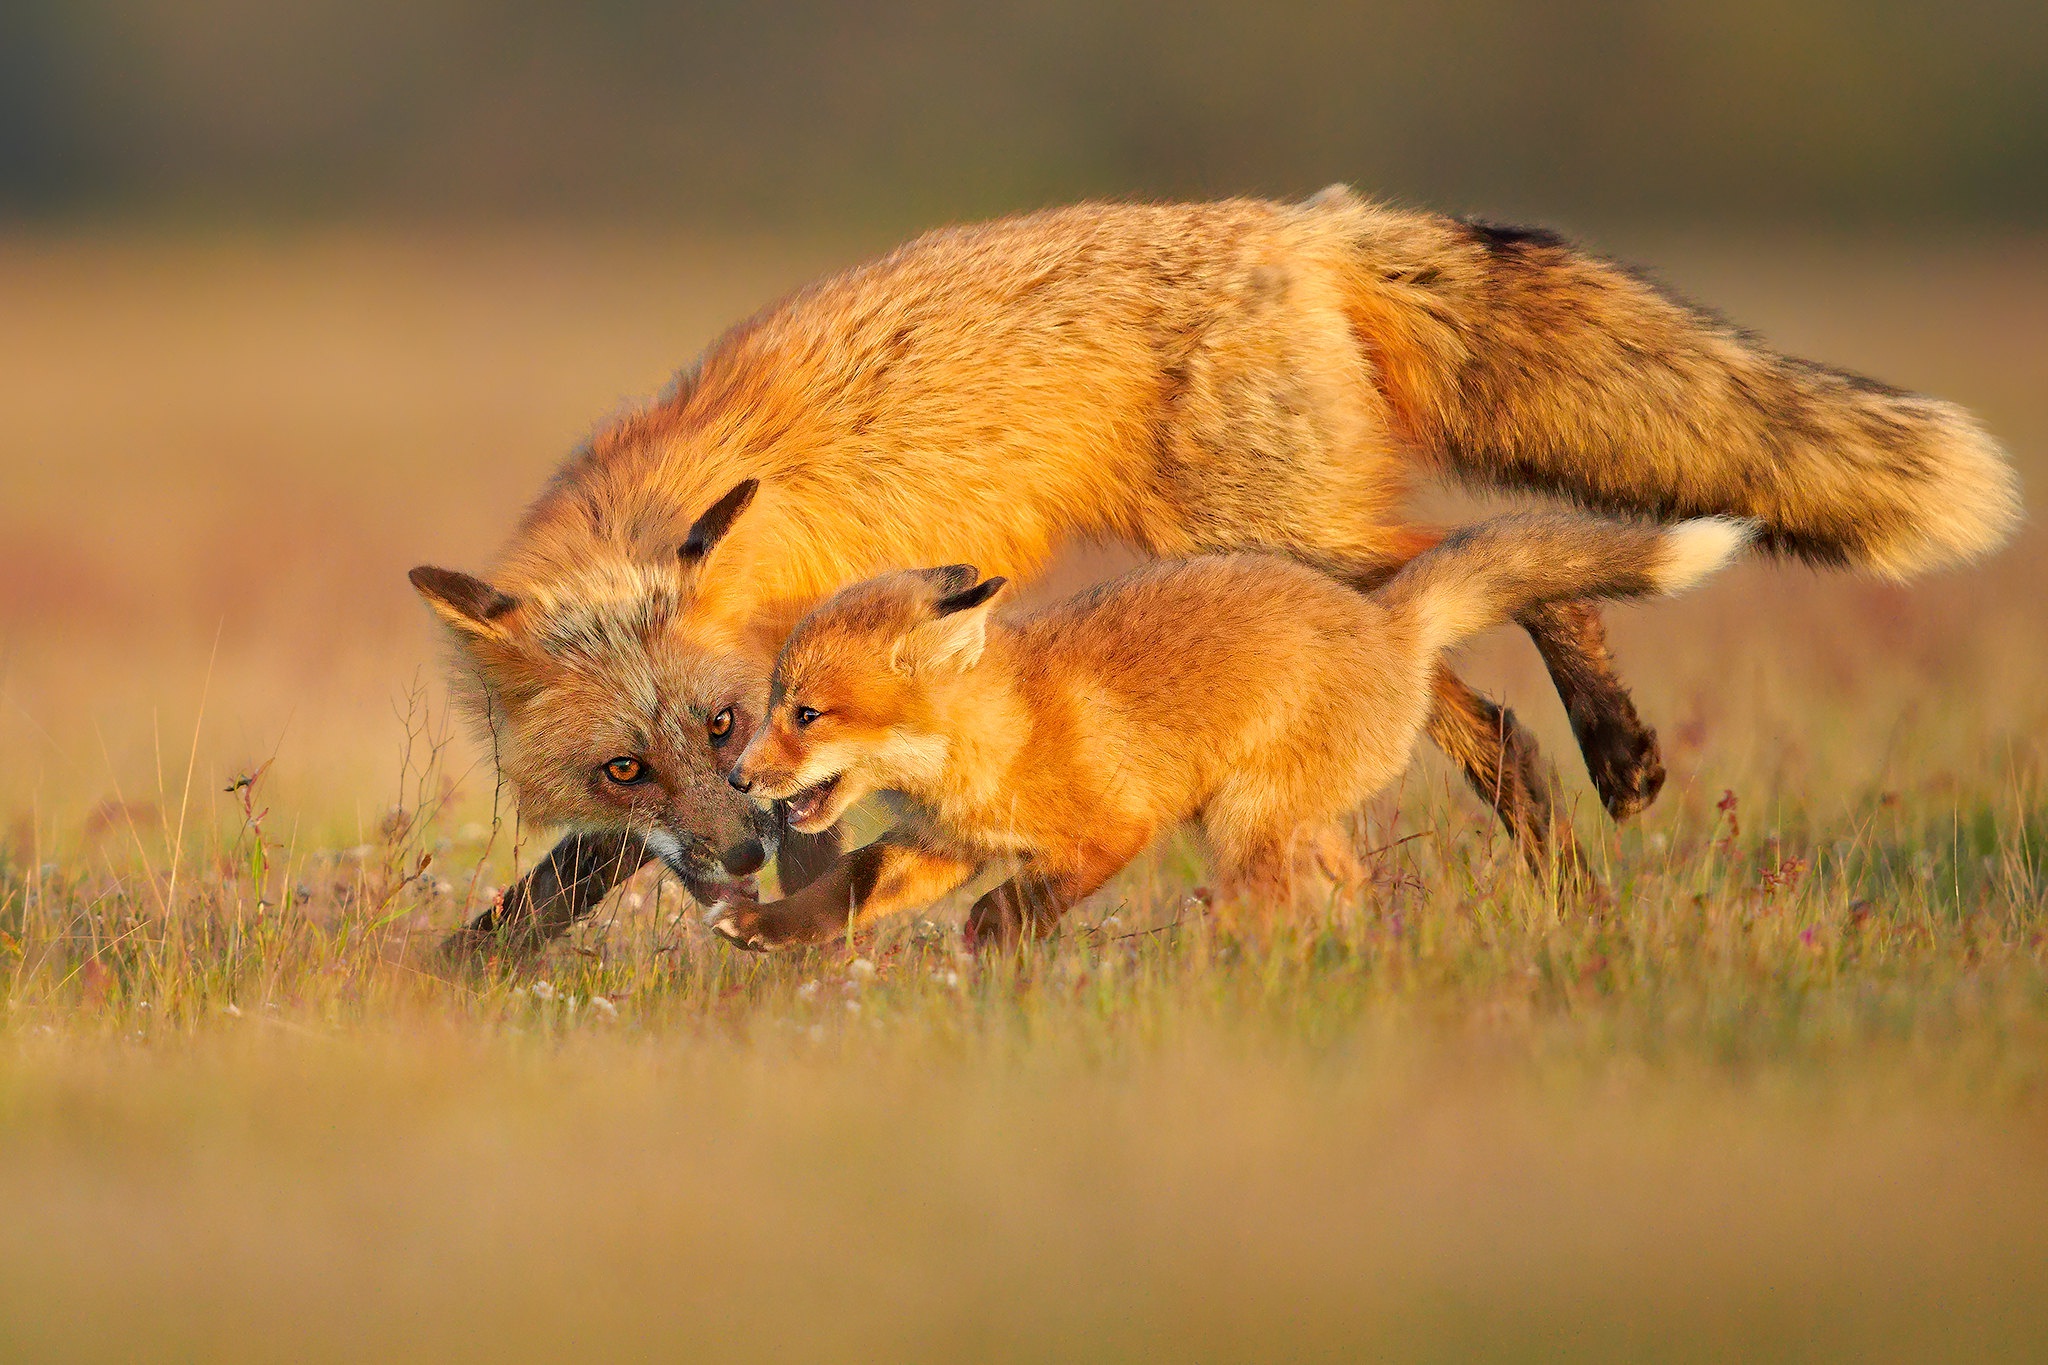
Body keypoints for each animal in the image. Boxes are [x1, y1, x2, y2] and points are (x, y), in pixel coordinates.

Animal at [712, 515, 1754, 950]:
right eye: (770, 705)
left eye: (806, 714)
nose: (736, 779)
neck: (1002, 738)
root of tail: (1387, 620)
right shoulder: (940, 844)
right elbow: (844, 889)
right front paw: (764, 927)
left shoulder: (1111, 828)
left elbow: (1015, 904)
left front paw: (996, 947)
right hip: (1282, 822)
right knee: (1346, 893)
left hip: (1245, 819)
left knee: (1275, 904)